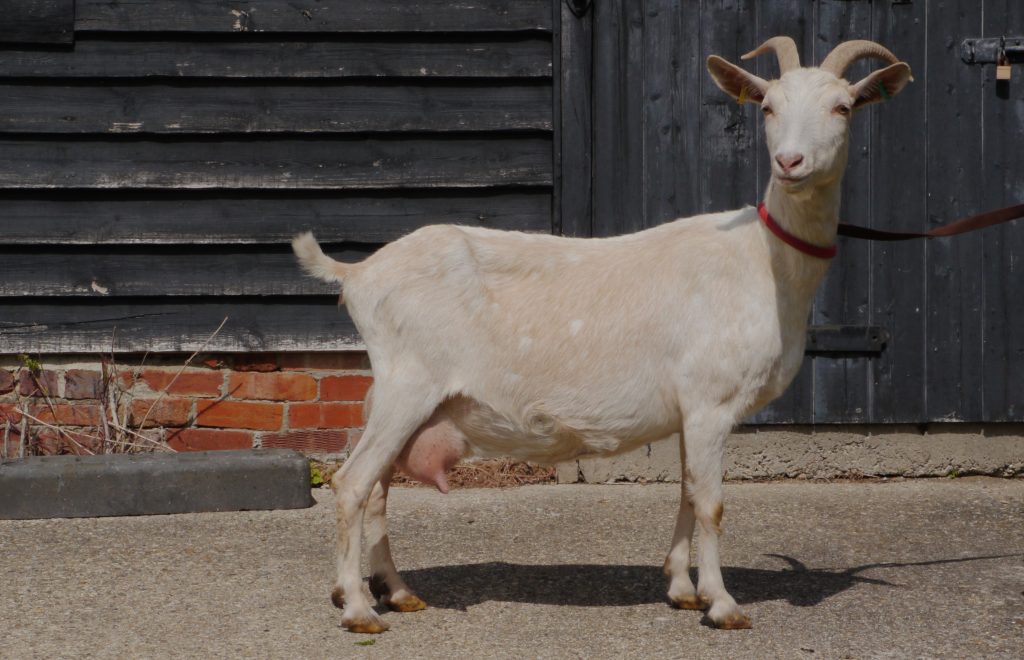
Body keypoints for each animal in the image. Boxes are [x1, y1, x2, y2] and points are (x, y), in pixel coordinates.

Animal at [292, 37, 912, 633]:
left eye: (843, 106)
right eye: (768, 106)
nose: (790, 161)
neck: (763, 260)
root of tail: (356, 275)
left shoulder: (689, 409)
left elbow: (687, 489)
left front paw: (682, 589)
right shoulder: (712, 401)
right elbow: (711, 502)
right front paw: (723, 604)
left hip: (395, 395)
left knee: (377, 488)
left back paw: (393, 591)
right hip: (409, 384)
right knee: (352, 484)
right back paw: (358, 609)